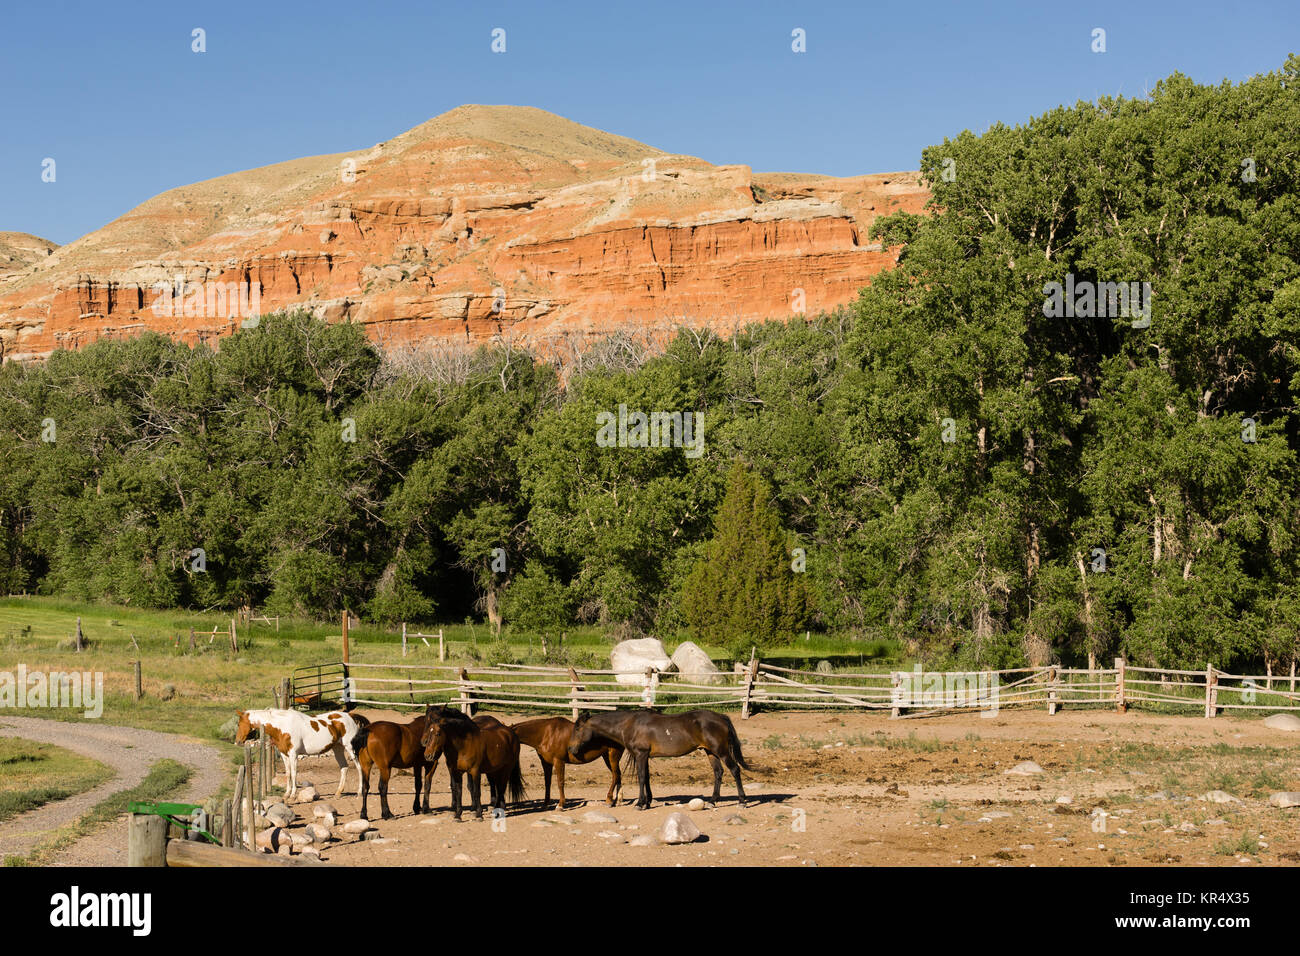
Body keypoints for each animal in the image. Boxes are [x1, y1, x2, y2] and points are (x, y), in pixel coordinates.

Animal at [235, 708, 368, 800]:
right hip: (338, 749)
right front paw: (286, 794)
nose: (237, 741)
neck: (283, 726)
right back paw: (338, 793)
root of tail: (350, 716)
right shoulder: (284, 755)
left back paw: (359, 793)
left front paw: (293, 795)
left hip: (350, 748)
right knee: (344, 768)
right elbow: (288, 774)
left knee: (359, 768)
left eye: (239, 723)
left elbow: (294, 774)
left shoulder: (294, 754)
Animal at [568, 709, 749, 810]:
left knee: (735, 770)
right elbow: (647, 778)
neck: (629, 724)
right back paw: (712, 801)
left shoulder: (641, 754)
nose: (570, 749)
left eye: (577, 728)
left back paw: (742, 801)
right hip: (710, 752)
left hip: (721, 751)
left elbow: (641, 777)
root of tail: (721, 717)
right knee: (718, 773)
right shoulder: (644, 756)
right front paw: (647, 802)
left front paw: (640, 804)